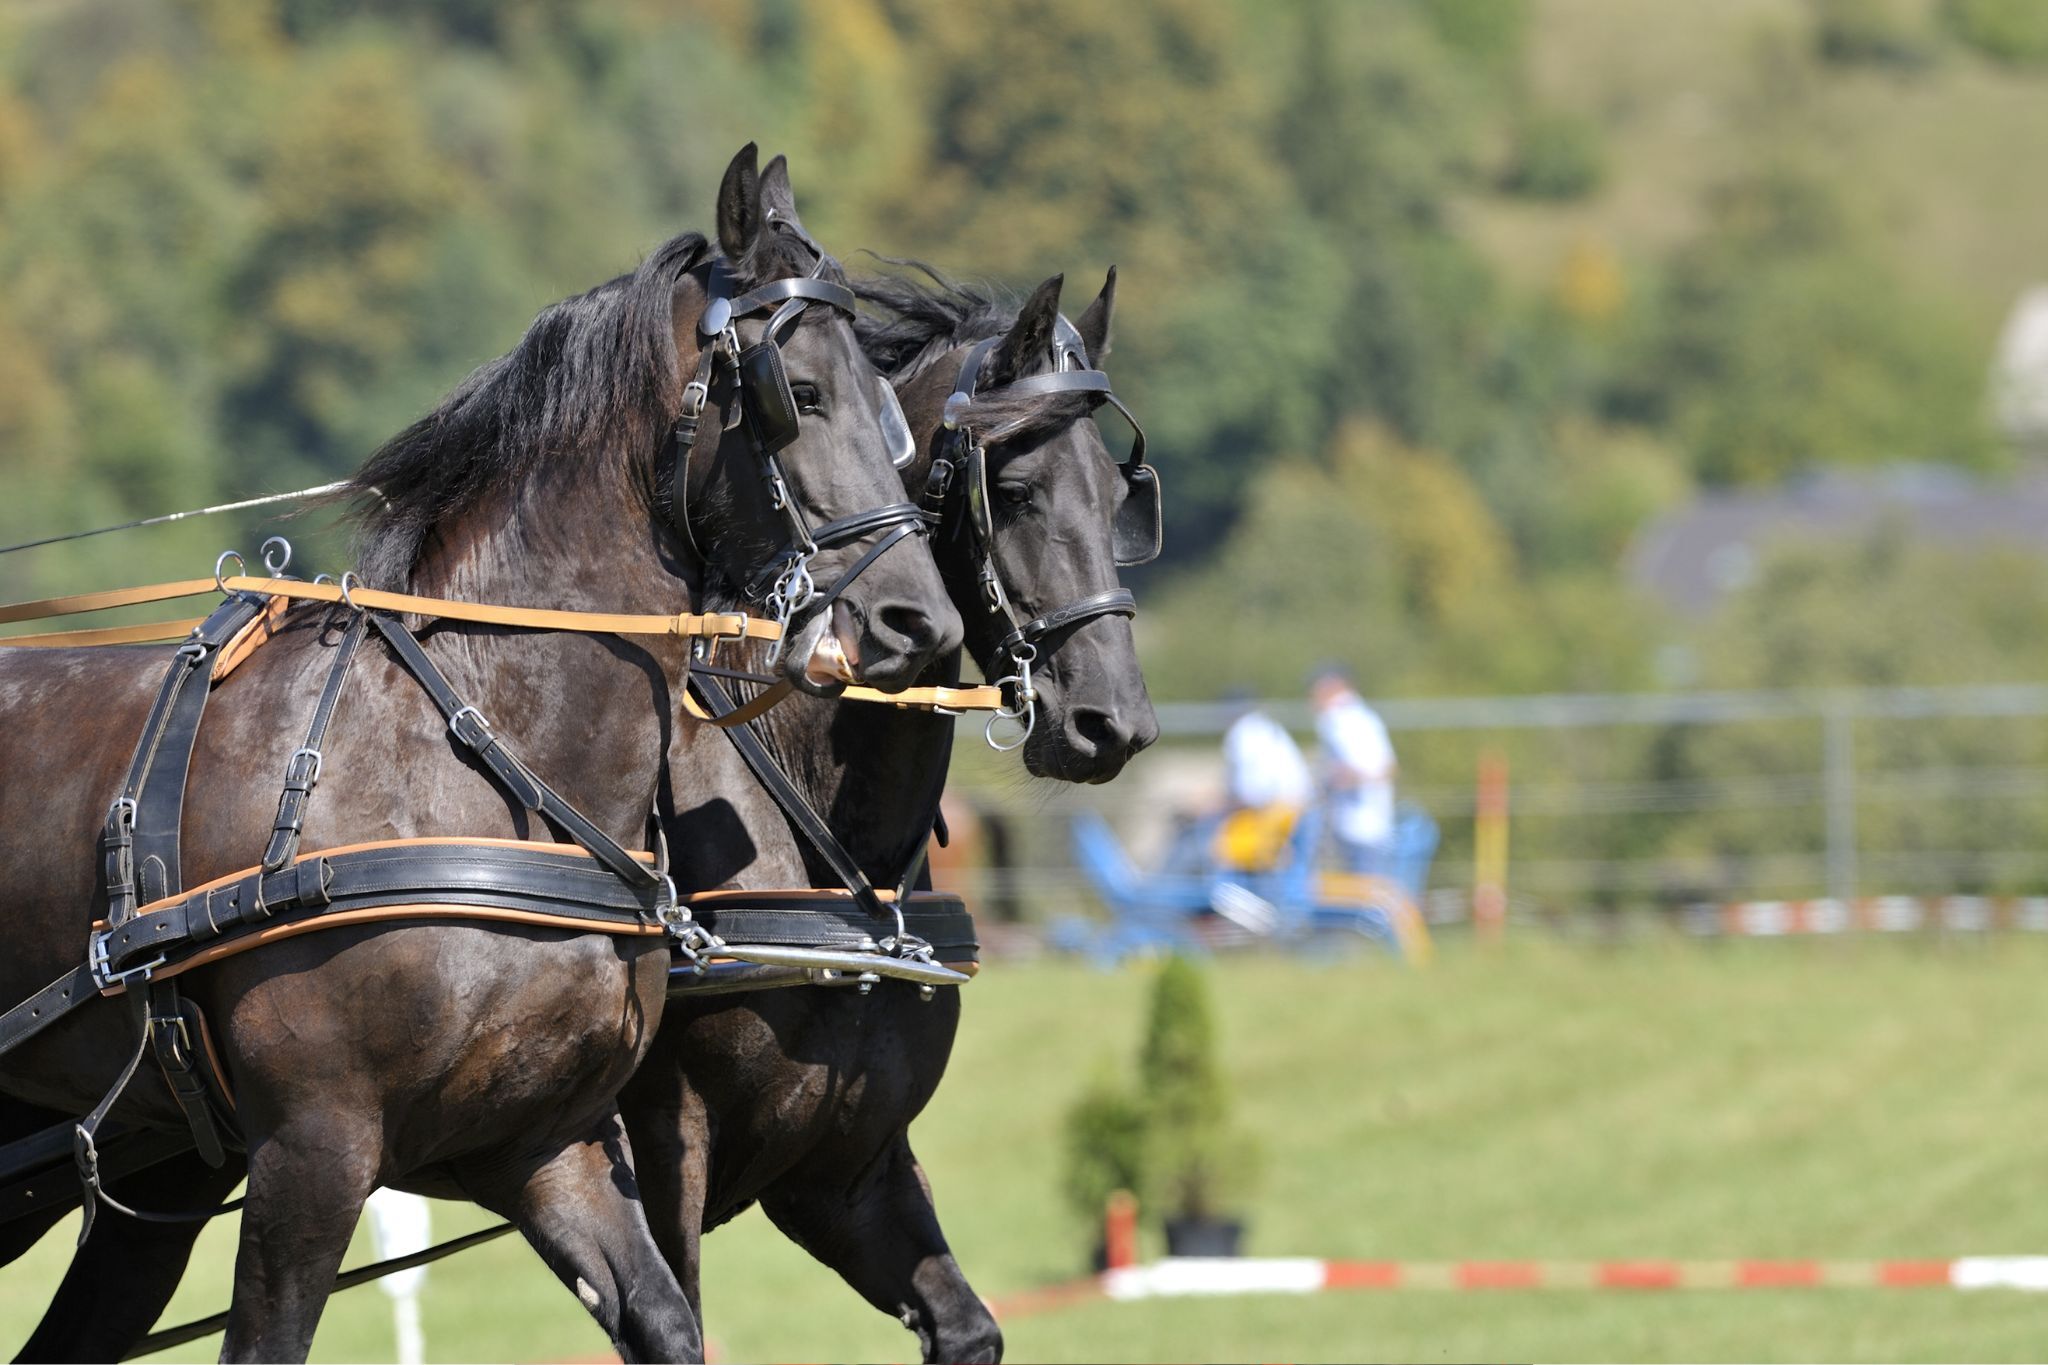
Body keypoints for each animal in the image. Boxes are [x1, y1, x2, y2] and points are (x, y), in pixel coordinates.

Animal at [0, 144, 961, 1363]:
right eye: (804, 393)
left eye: (896, 414)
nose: (917, 621)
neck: (465, 757)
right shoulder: (312, 1153)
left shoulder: (549, 1144)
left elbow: (665, 1321)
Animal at [621, 263, 1159, 1362]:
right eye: (1018, 492)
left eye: (1121, 497)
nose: (1110, 722)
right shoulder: (660, 1157)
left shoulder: (844, 1174)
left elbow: (965, 1326)